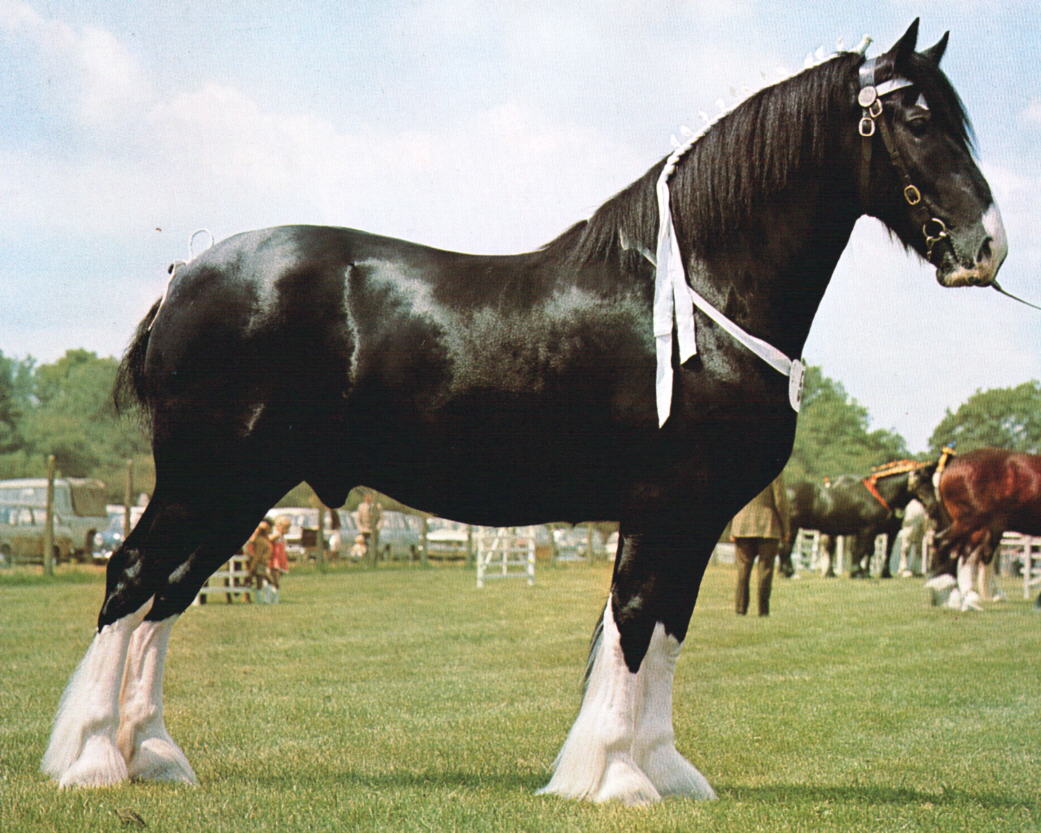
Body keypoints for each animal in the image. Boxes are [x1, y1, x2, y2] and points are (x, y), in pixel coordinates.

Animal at [789, 459, 940, 578]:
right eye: (923, 481)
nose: (933, 504)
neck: (881, 495)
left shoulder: (885, 531)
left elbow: (875, 551)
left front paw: (875, 573)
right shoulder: (870, 530)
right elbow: (865, 550)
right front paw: (860, 572)